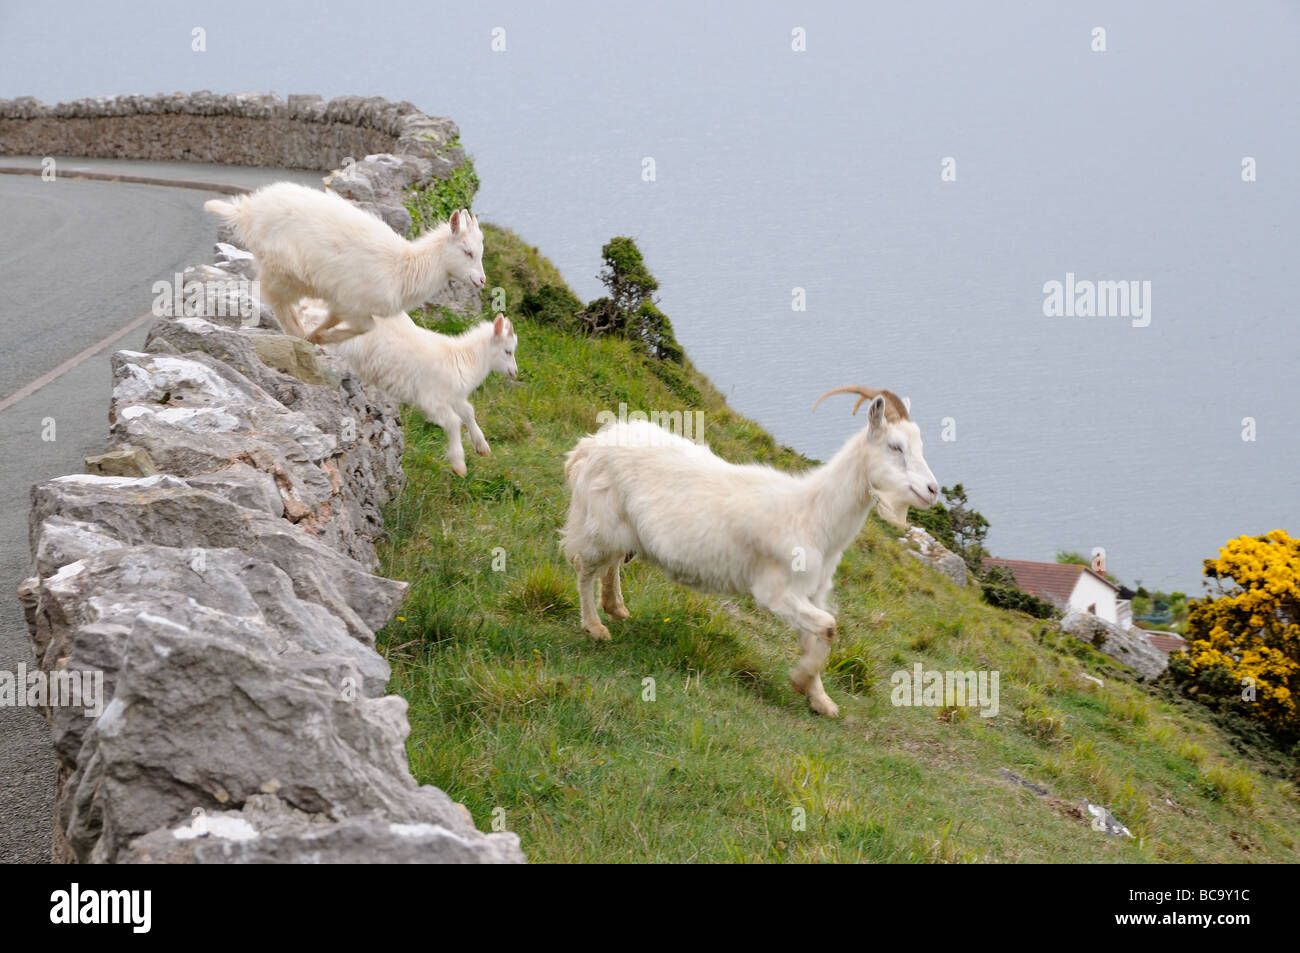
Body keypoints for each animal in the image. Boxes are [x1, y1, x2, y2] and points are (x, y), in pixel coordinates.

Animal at [203, 182, 486, 345]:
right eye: (468, 252)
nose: (482, 280)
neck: (405, 267)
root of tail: (247, 211)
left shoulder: (342, 303)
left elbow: (340, 321)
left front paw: (317, 336)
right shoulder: (353, 303)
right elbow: (367, 327)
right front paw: (318, 337)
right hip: (282, 268)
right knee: (274, 297)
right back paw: (296, 333)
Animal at [323, 308, 518, 476]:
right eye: (508, 351)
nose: (514, 372)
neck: (461, 358)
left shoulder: (452, 396)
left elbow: (468, 412)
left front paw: (482, 447)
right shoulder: (432, 400)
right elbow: (454, 422)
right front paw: (459, 465)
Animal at [560, 386, 939, 717]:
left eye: (920, 446)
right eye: (895, 446)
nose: (932, 489)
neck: (814, 515)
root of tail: (588, 446)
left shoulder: (812, 593)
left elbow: (817, 635)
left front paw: (820, 699)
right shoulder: (776, 593)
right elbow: (829, 627)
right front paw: (801, 680)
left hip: (621, 529)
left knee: (611, 564)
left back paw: (616, 606)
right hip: (600, 523)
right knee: (583, 566)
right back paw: (594, 626)